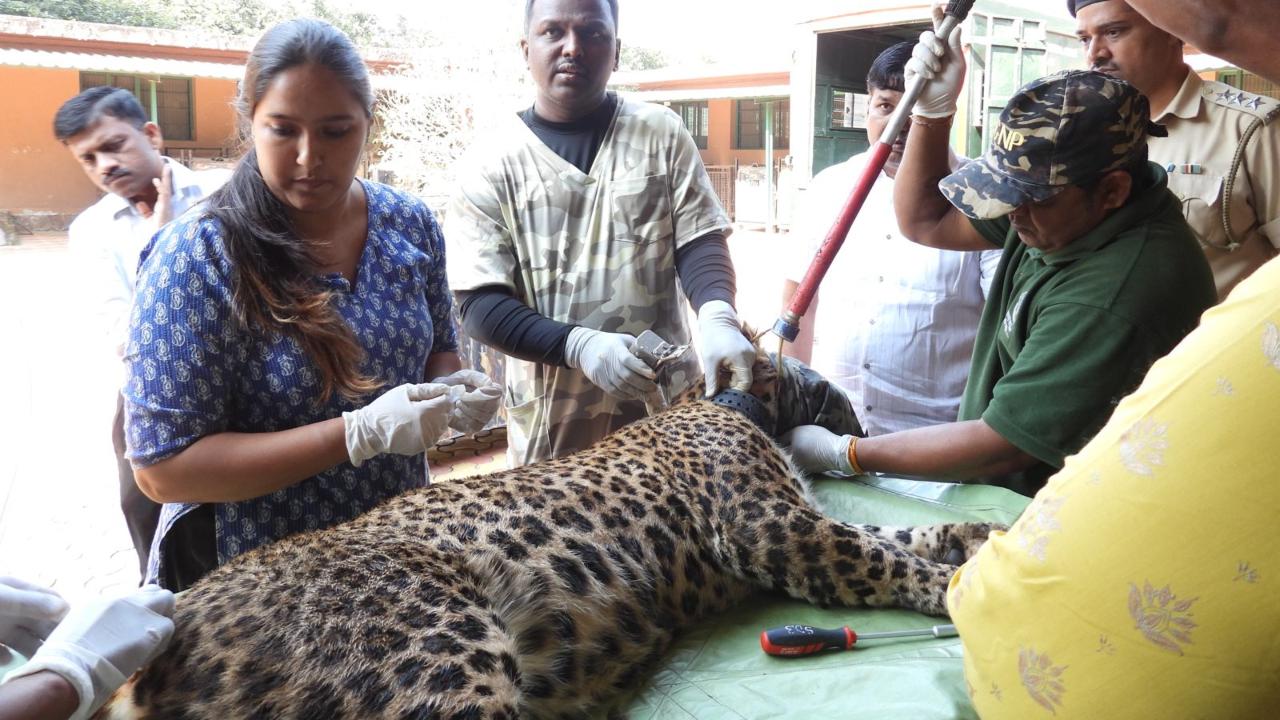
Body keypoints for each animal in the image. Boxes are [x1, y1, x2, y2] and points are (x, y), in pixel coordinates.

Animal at [98, 343, 997, 720]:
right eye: (832, 388)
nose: (866, 416)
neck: (731, 405)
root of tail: (174, 622)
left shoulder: (797, 521)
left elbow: (894, 535)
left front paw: (978, 538)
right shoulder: (772, 528)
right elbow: (878, 556)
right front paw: (963, 593)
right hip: (438, 665)